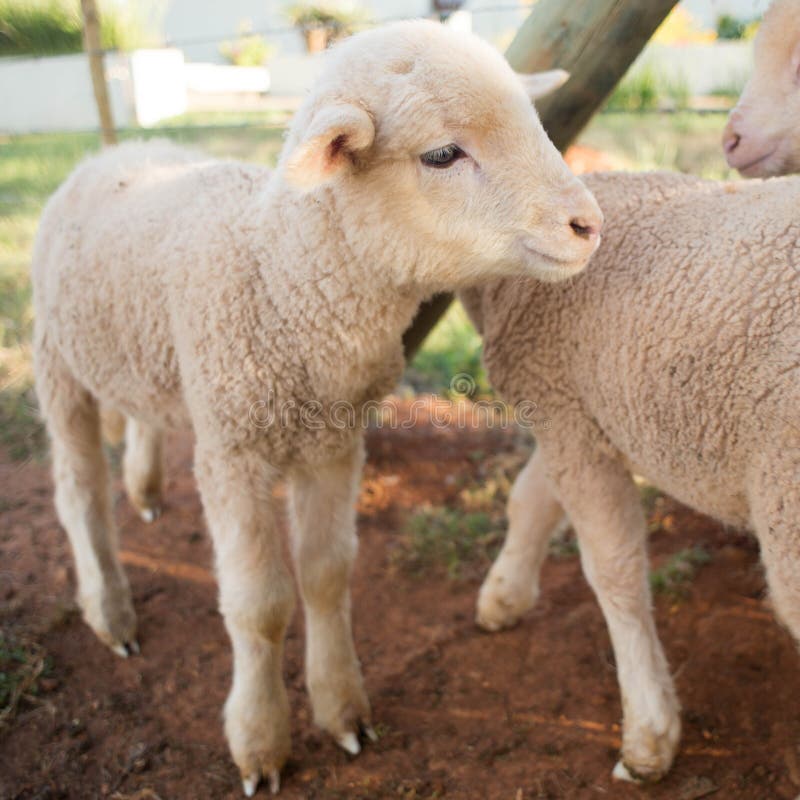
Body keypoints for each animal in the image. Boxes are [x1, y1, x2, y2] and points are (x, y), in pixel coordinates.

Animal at [32, 20, 603, 795]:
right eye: (442, 154)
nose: (589, 224)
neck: (280, 276)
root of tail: (114, 154)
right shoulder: (233, 450)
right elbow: (259, 605)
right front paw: (260, 741)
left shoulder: (335, 442)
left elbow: (328, 576)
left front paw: (343, 711)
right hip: (57, 359)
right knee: (78, 492)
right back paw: (111, 611)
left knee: (141, 418)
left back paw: (144, 491)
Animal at [465, 169, 800, 782]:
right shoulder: (570, 410)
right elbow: (530, 498)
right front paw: (503, 596)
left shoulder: (564, 409)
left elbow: (613, 571)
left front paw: (648, 734)